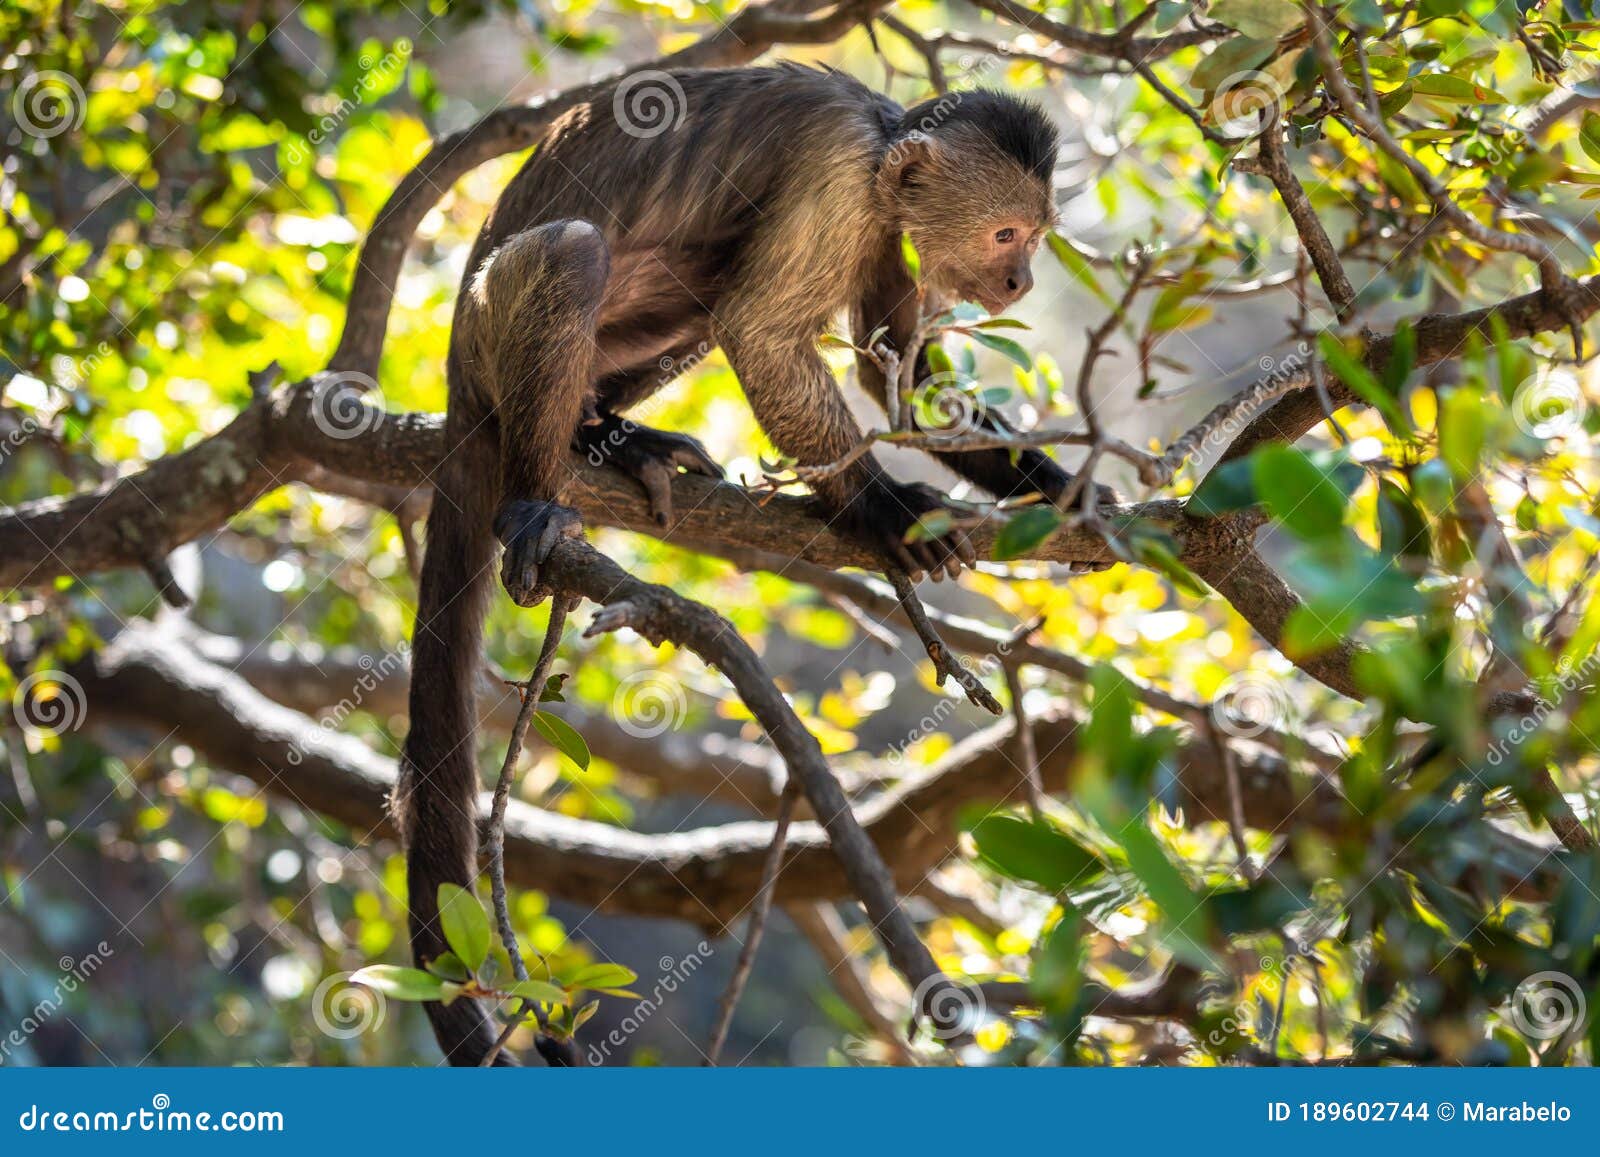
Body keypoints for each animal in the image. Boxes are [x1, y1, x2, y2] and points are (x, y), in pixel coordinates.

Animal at [394, 63, 1105, 1067]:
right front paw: (883, 508)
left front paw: (1061, 488)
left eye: (1032, 241)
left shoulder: (886, 228)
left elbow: (908, 378)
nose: (1020, 278)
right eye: (1008, 234)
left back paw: (606, 438)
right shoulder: (840, 184)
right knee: (581, 256)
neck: (883, 149)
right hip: (488, 340)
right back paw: (540, 491)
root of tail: (458, 367)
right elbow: (765, 332)